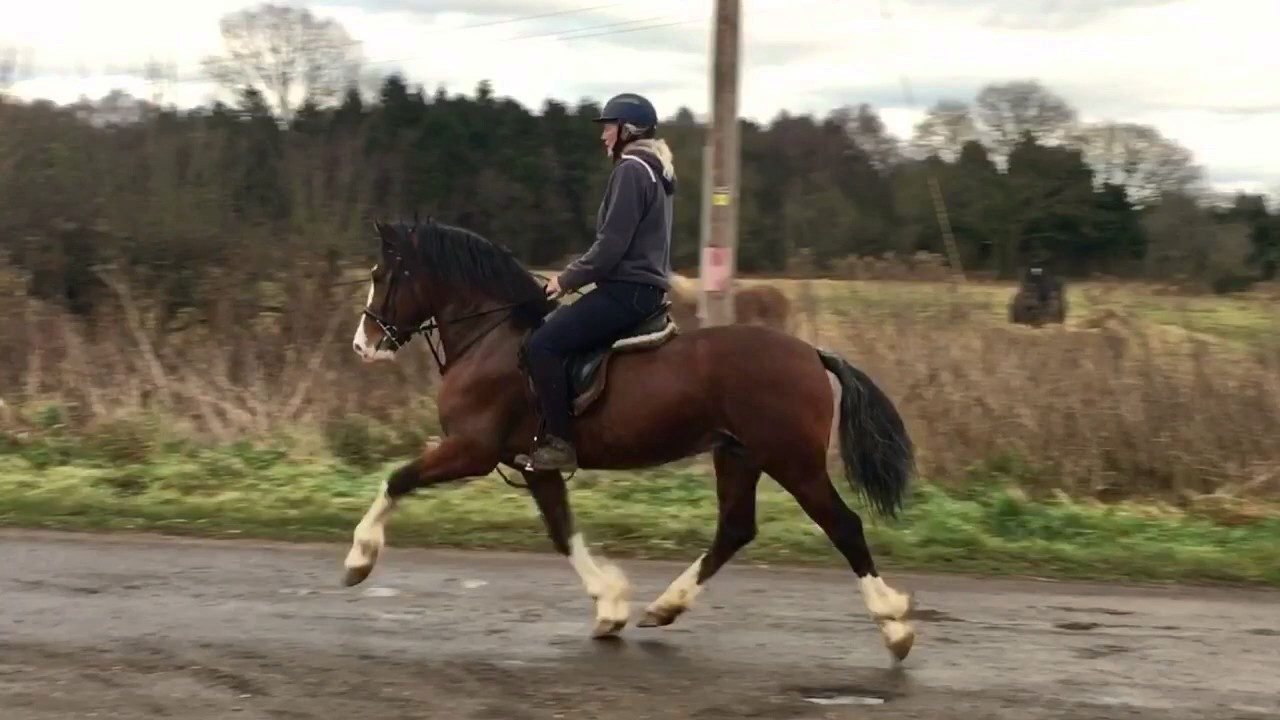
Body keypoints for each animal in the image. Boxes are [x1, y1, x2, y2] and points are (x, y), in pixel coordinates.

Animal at [345, 218, 919, 661]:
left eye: (380, 274)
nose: (362, 344)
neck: (494, 340)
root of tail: (810, 352)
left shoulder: (473, 450)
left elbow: (397, 479)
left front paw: (359, 560)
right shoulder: (534, 464)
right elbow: (562, 531)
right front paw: (609, 606)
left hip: (792, 461)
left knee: (842, 526)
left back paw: (893, 623)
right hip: (738, 455)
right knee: (735, 529)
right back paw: (665, 607)